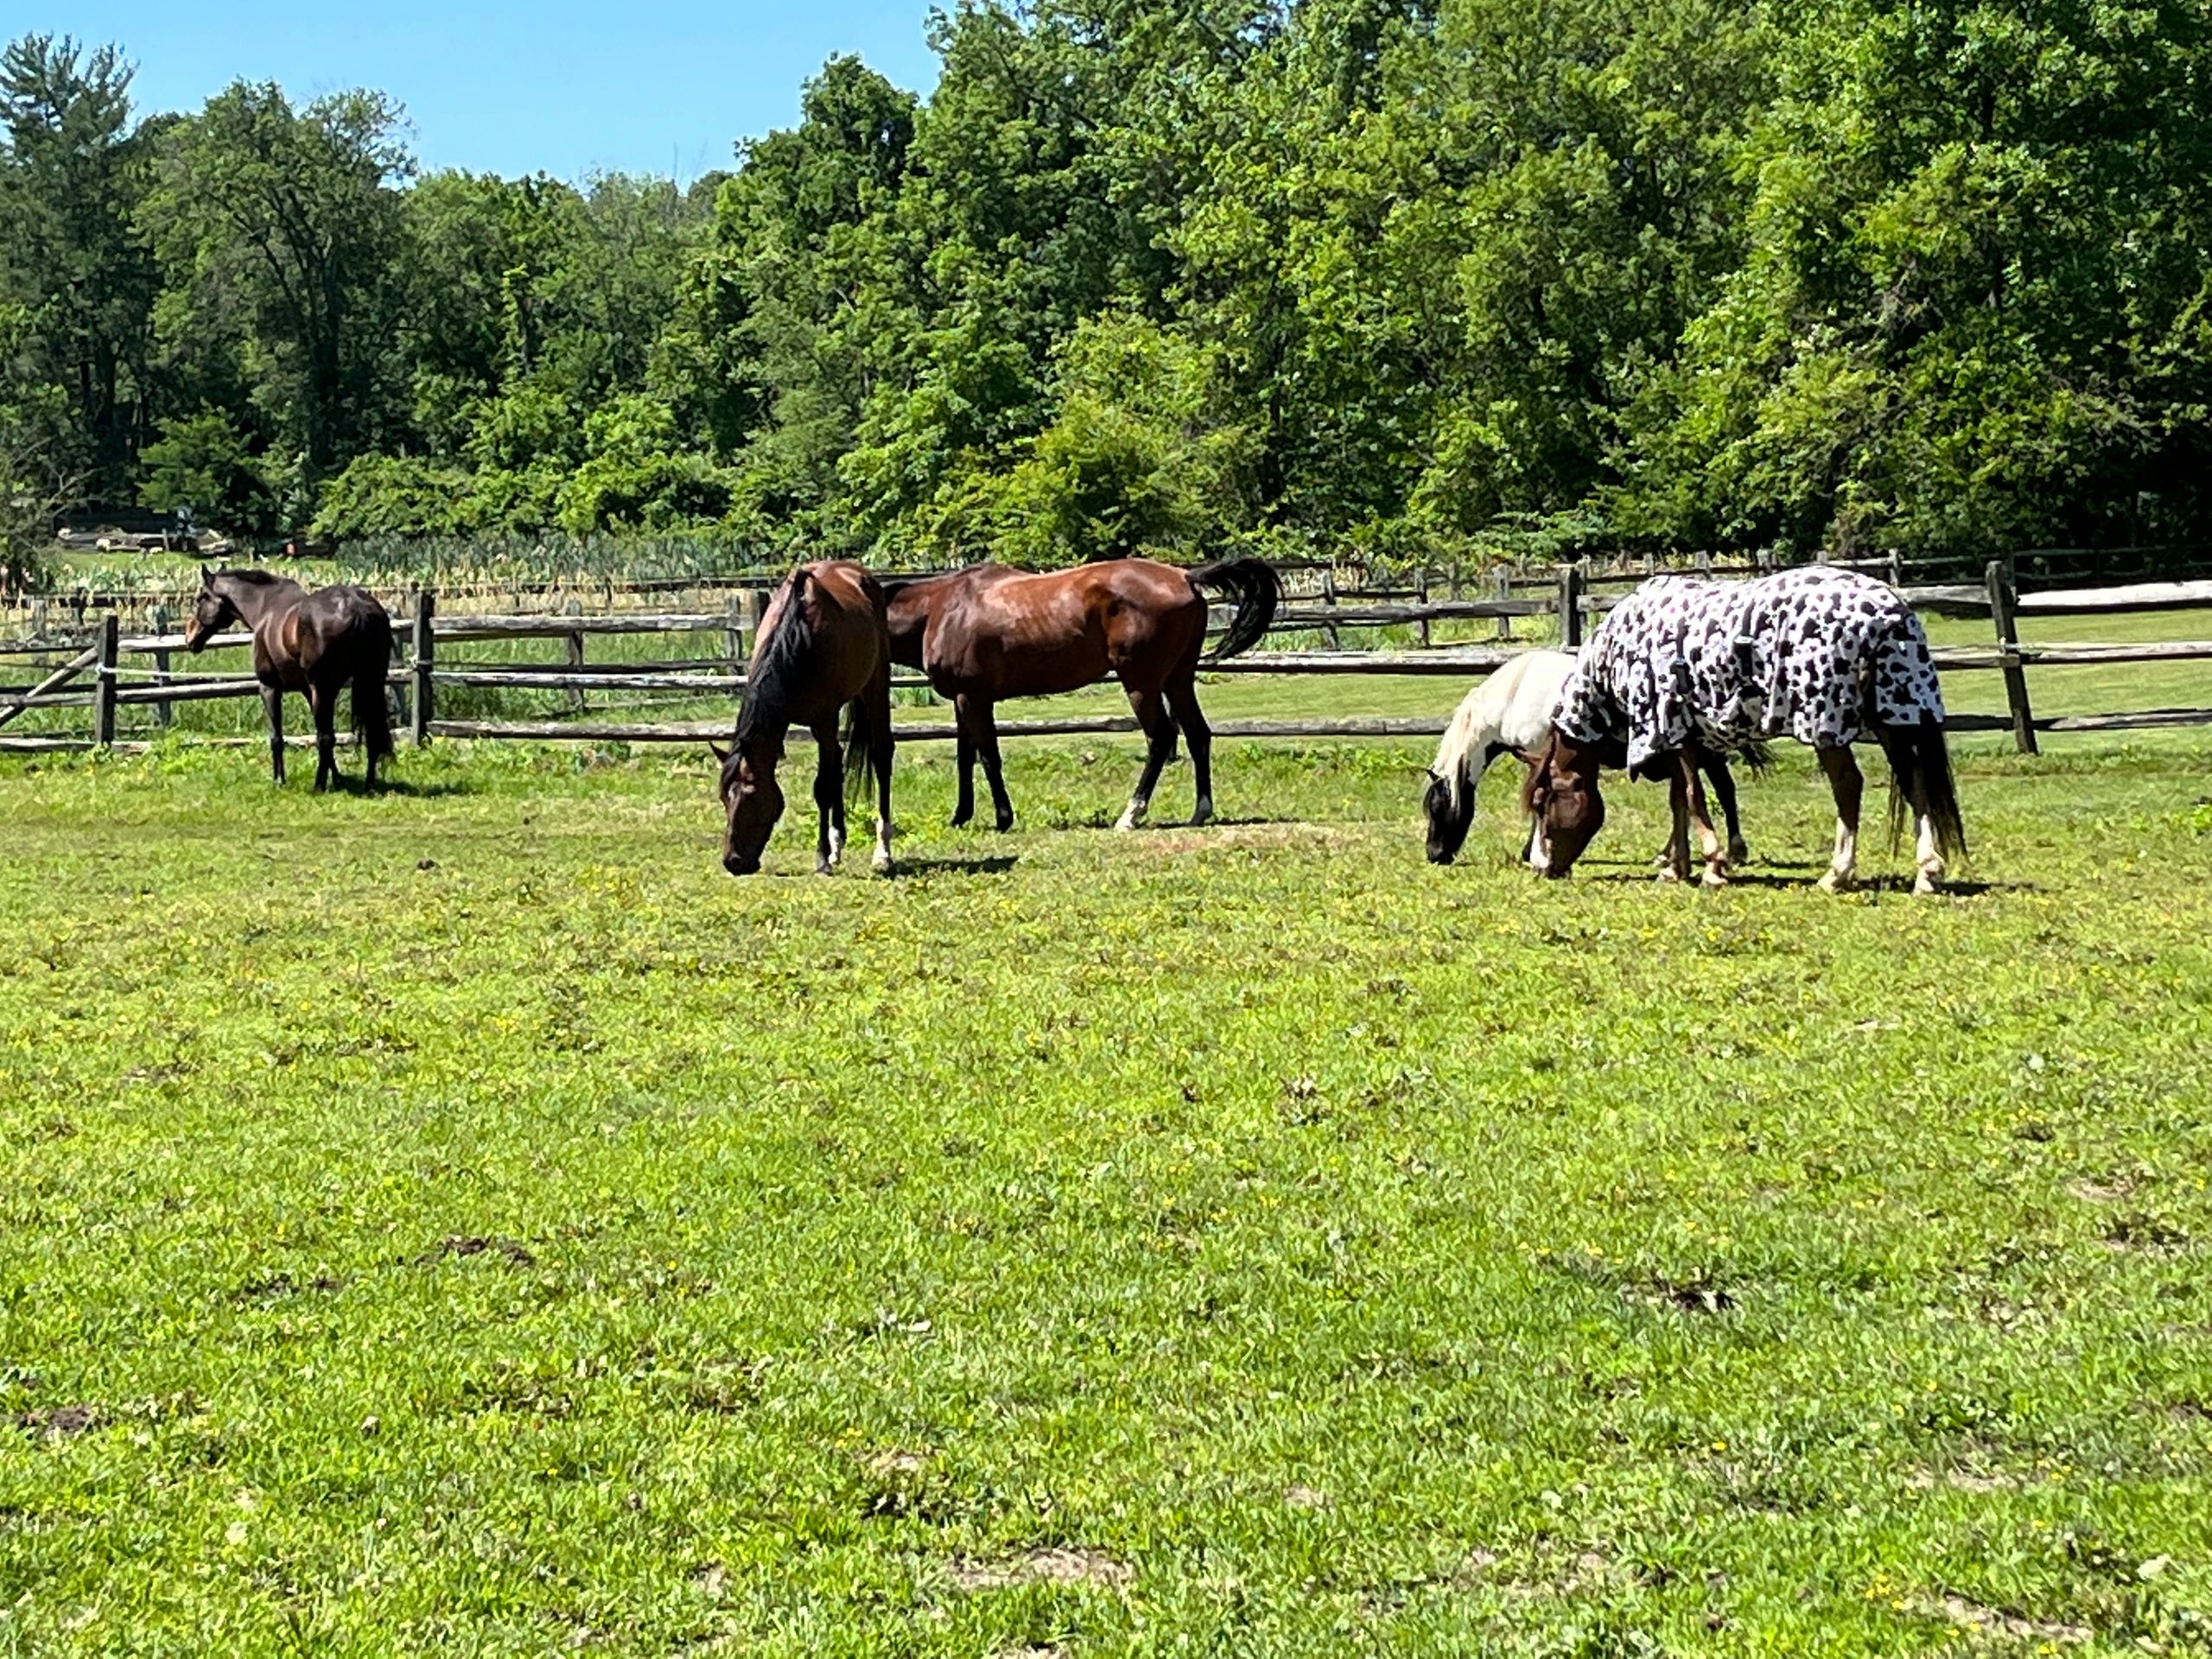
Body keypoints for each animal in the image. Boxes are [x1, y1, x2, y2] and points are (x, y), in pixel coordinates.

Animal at [182, 568, 394, 790]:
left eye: (201, 598)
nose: (190, 638)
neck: (264, 606)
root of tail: (357, 607)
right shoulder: (307, 690)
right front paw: (338, 780)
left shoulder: (270, 688)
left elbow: (277, 738)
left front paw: (279, 780)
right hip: (370, 683)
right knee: (369, 734)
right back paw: (369, 785)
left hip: (326, 688)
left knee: (327, 738)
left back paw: (318, 786)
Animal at [710, 560, 894, 877]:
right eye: (724, 797)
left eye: (752, 796)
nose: (733, 862)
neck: (797, 637)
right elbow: (831, 776)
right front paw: (830, 851)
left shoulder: (824, 720)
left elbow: (822, 787)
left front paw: (821, 858)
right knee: (839, 763)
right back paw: (838, 845)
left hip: (875, 687)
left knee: (881, 756)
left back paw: (882, 853)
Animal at [880, 557, 1280, 832]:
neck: (942, 610)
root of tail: (1185, 576)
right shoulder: (964, 701)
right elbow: (966, 758)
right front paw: (961, 816)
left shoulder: (973, 699)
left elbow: (988, 757)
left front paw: (1003, 817)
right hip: (1178, 680)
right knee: (1198, 735)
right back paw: (1200, 811)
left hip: (1141, 683)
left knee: (1162, 737)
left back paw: (1130, 814)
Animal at [1423, 649, 1759, 868]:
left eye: (1438, 810)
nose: (1434, 854)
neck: (1514, 696)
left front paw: (1532, 851)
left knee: (1723, 792)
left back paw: (1734, 851)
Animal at [1523, 567, 1966, 892]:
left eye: (1544, 803)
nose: (1539, 866)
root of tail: (1892, 610)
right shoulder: (1678, 737)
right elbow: (1679, 800)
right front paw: (1676, 867)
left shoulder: (1670, 728)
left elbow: (1693, 797)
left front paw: (1712, 866)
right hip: (1895, 718)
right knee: (1913, 782)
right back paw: (1926, 872)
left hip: (1827, 725)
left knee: (1848, 785)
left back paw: (1836, 874)